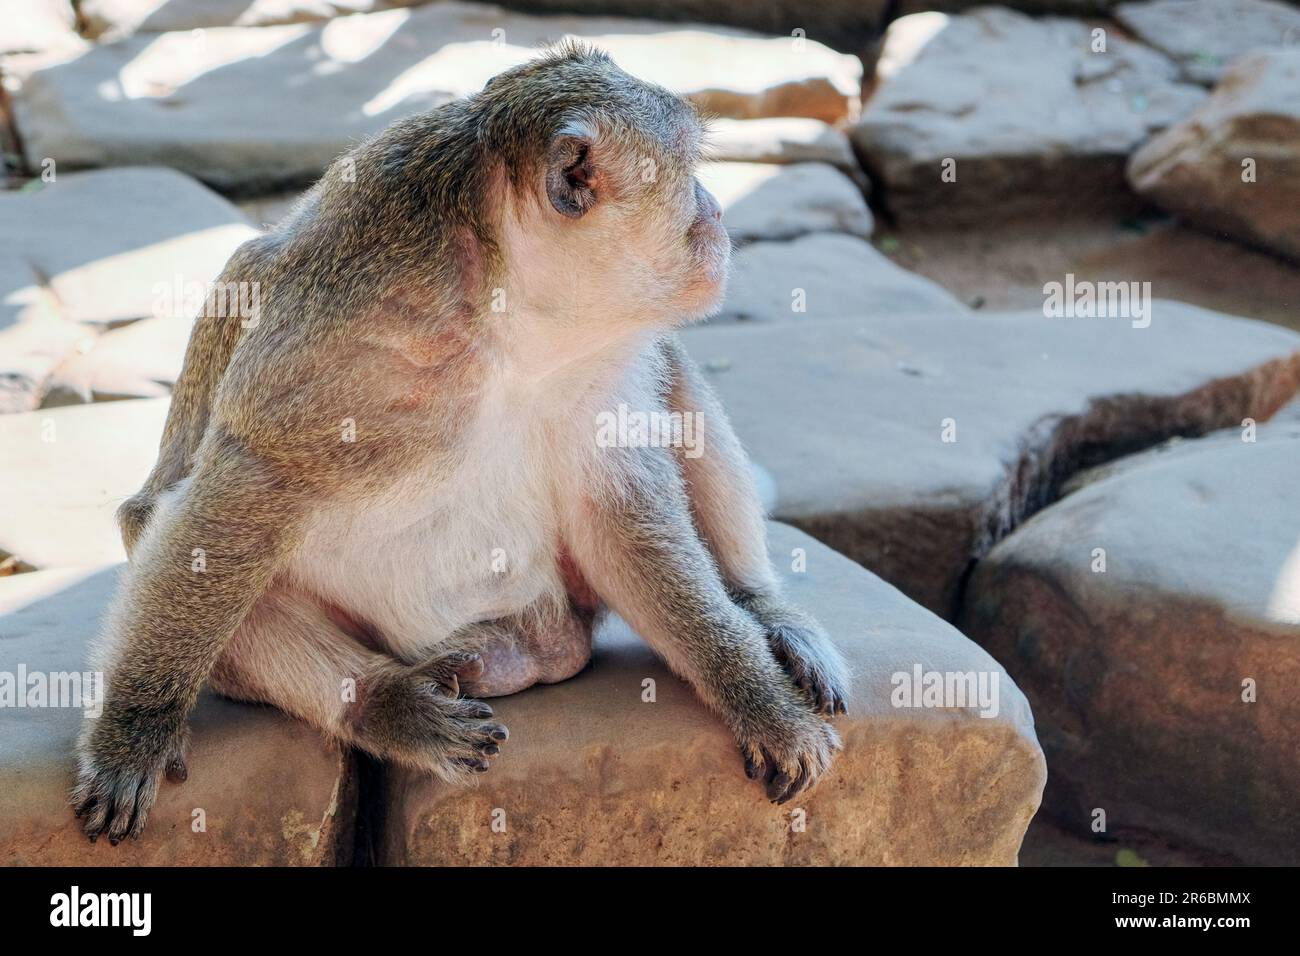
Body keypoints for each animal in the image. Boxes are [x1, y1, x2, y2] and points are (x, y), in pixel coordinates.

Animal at [72, 43, 850, 845]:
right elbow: (244, 495)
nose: (718, 212)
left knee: (673, 361)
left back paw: (762, 610)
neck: (510, 319)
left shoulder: (606, 361)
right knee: (164, 520)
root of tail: (539, 648)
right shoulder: (335, 358)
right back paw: (387, 704)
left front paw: (755, 694)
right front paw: (135, 727)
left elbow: (622, 523)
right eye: (687, 172)